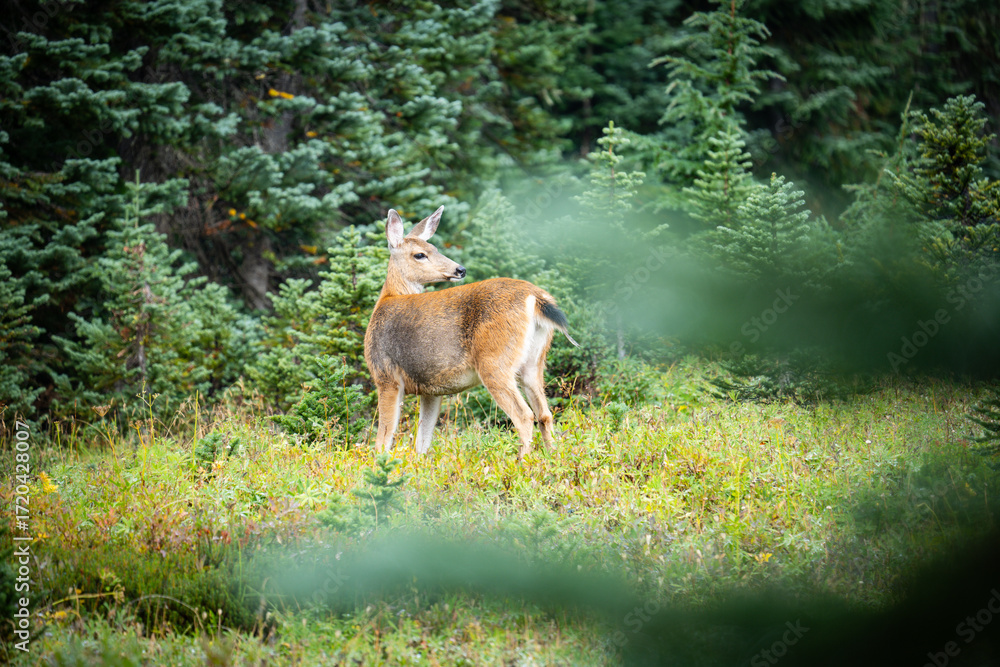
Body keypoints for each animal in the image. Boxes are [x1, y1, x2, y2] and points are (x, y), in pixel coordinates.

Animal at [364, 206, 578, 461]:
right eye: (420, 254)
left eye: (434, 249)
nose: (460, 269)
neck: (388, 297)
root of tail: (536, 297)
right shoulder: (431, 389)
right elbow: (423, 441)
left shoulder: (385, 375)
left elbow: (384, 437)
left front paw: (377, 464)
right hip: (534, 361)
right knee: (545, 414)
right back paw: (554, 457)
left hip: (494, 360)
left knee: (524, 415)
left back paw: (520, 461)